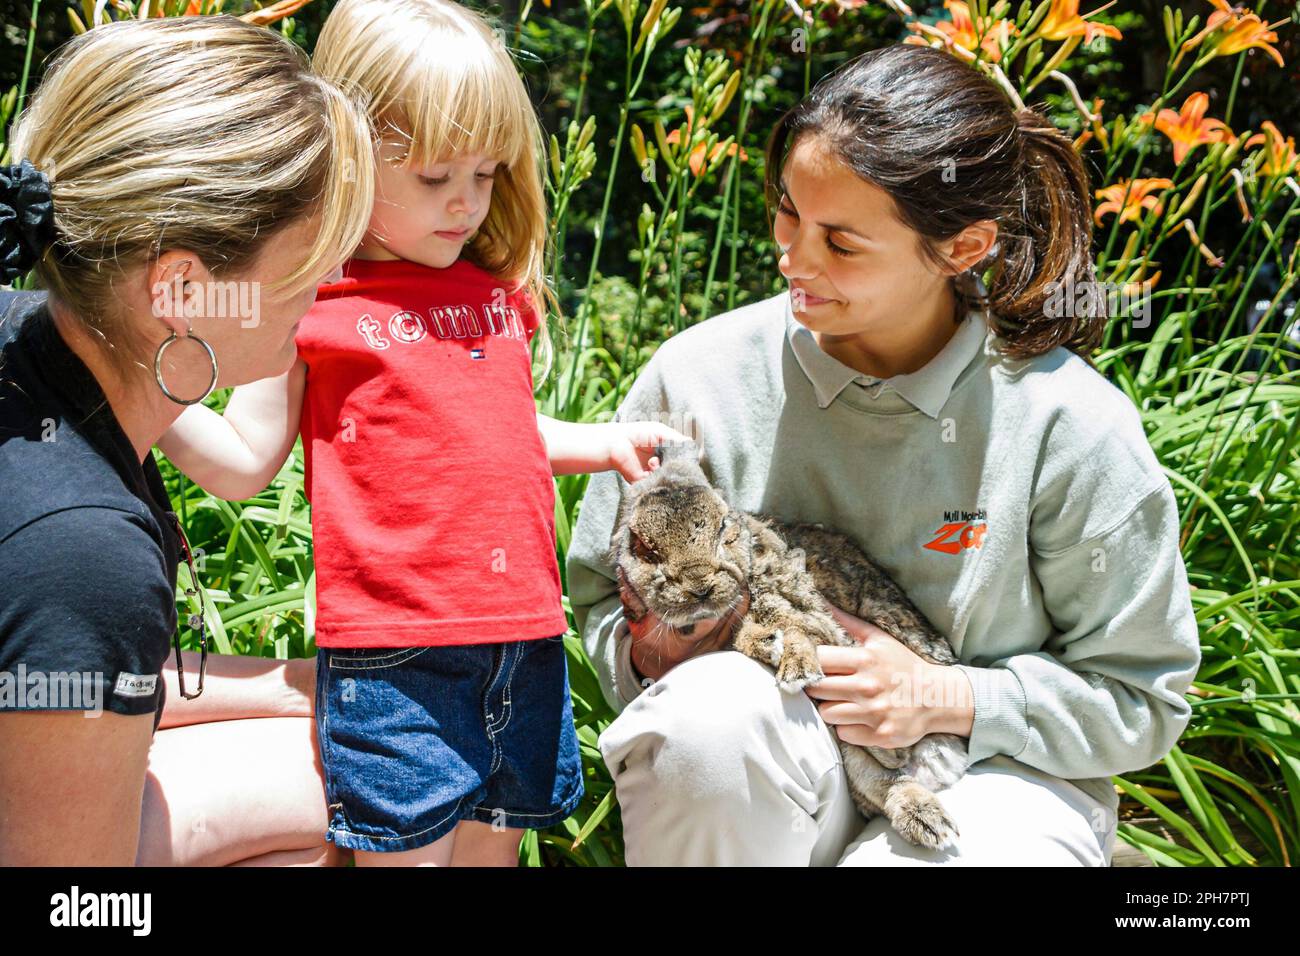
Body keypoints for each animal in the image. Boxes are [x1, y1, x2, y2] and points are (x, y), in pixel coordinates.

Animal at [608, 439, 969, 850]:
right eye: (643, 547)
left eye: (723, 527)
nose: (699, 586)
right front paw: (772, 646)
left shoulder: (809, 611)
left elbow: (792, 626)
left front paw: (796, 666)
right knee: (882, 783)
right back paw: (926, 819)